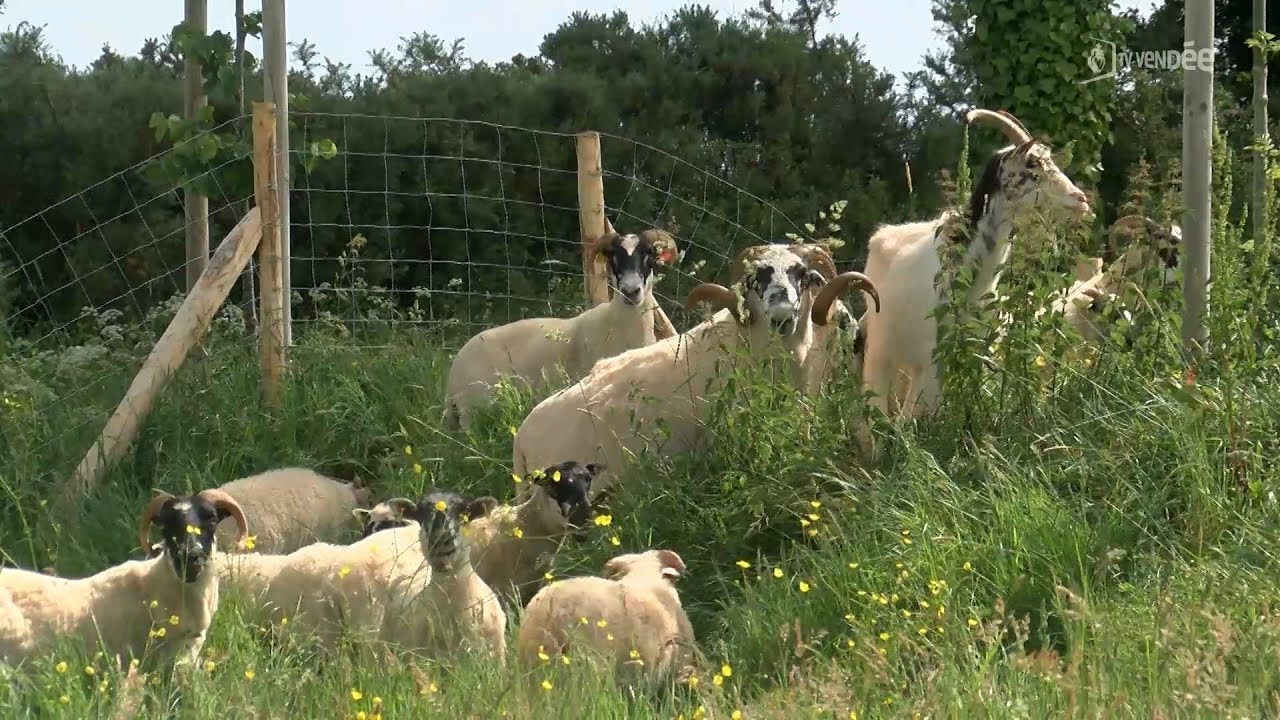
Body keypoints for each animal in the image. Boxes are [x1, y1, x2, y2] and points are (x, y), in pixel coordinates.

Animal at [440, 224, 680, 425]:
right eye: (613, 257)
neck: (619, 324)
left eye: (649, 254)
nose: (630, 292)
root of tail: (452, 381)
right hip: (478, 403)